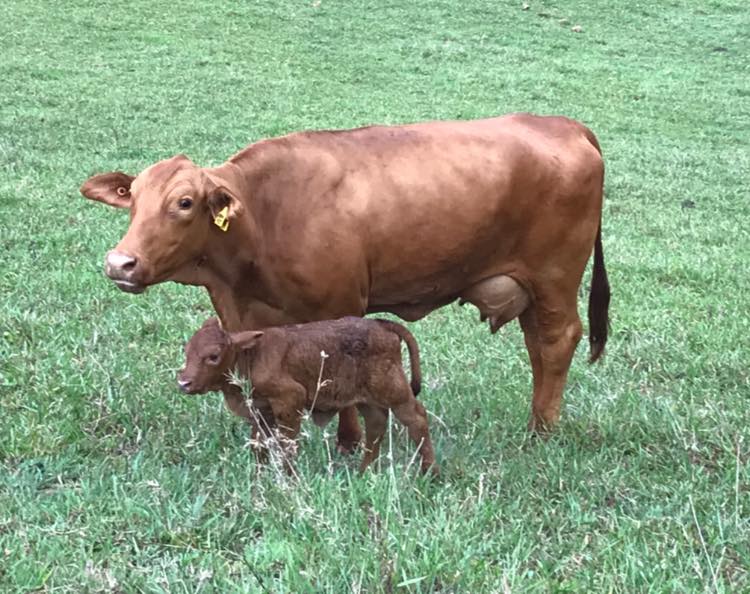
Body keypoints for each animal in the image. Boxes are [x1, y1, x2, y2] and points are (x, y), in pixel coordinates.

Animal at [80, 112, 610, 434]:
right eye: (133, 199)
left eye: (185, 203)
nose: (120, 262)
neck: (267, 214)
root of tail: (562, 124)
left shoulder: (340, 309)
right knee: (538, 344)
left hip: (554, 278)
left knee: (555, 342)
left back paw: (541, 429)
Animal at [177, 316, 435, 474]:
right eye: (187, 351)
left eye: (213, 356)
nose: (184, 382)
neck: (251, 356)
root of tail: (381, 324)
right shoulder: (261, 412)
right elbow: (259, 446)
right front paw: (259, 476)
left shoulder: (291, 400)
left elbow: (287, 445)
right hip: (366, 399)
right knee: (376, 426)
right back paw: (364, 472)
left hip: (395, 392)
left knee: (416, 419)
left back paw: (429, 473)